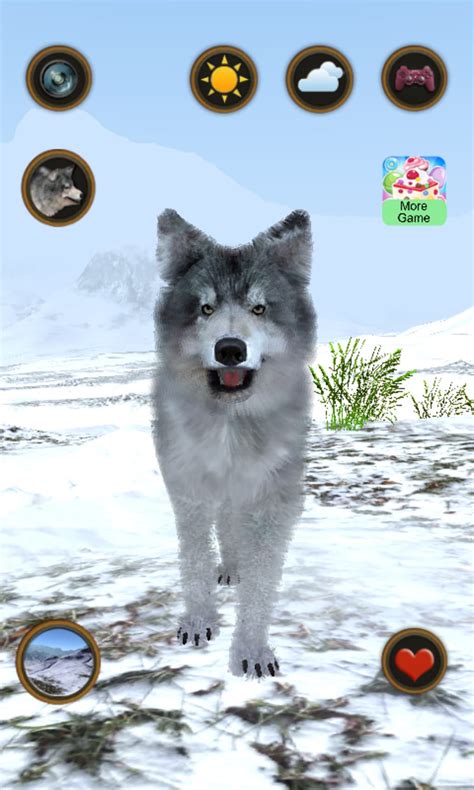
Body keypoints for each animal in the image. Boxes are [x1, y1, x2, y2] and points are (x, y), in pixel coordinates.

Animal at [151, 209, 316, 678]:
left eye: (259, 308)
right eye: (206, 308)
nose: (229, 349)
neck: (230, 428)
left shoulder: (275, 503)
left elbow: (262, 583)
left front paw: (251, 651)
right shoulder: (187, 491)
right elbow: (194, 561)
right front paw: (198, 622)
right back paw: (226, 570)